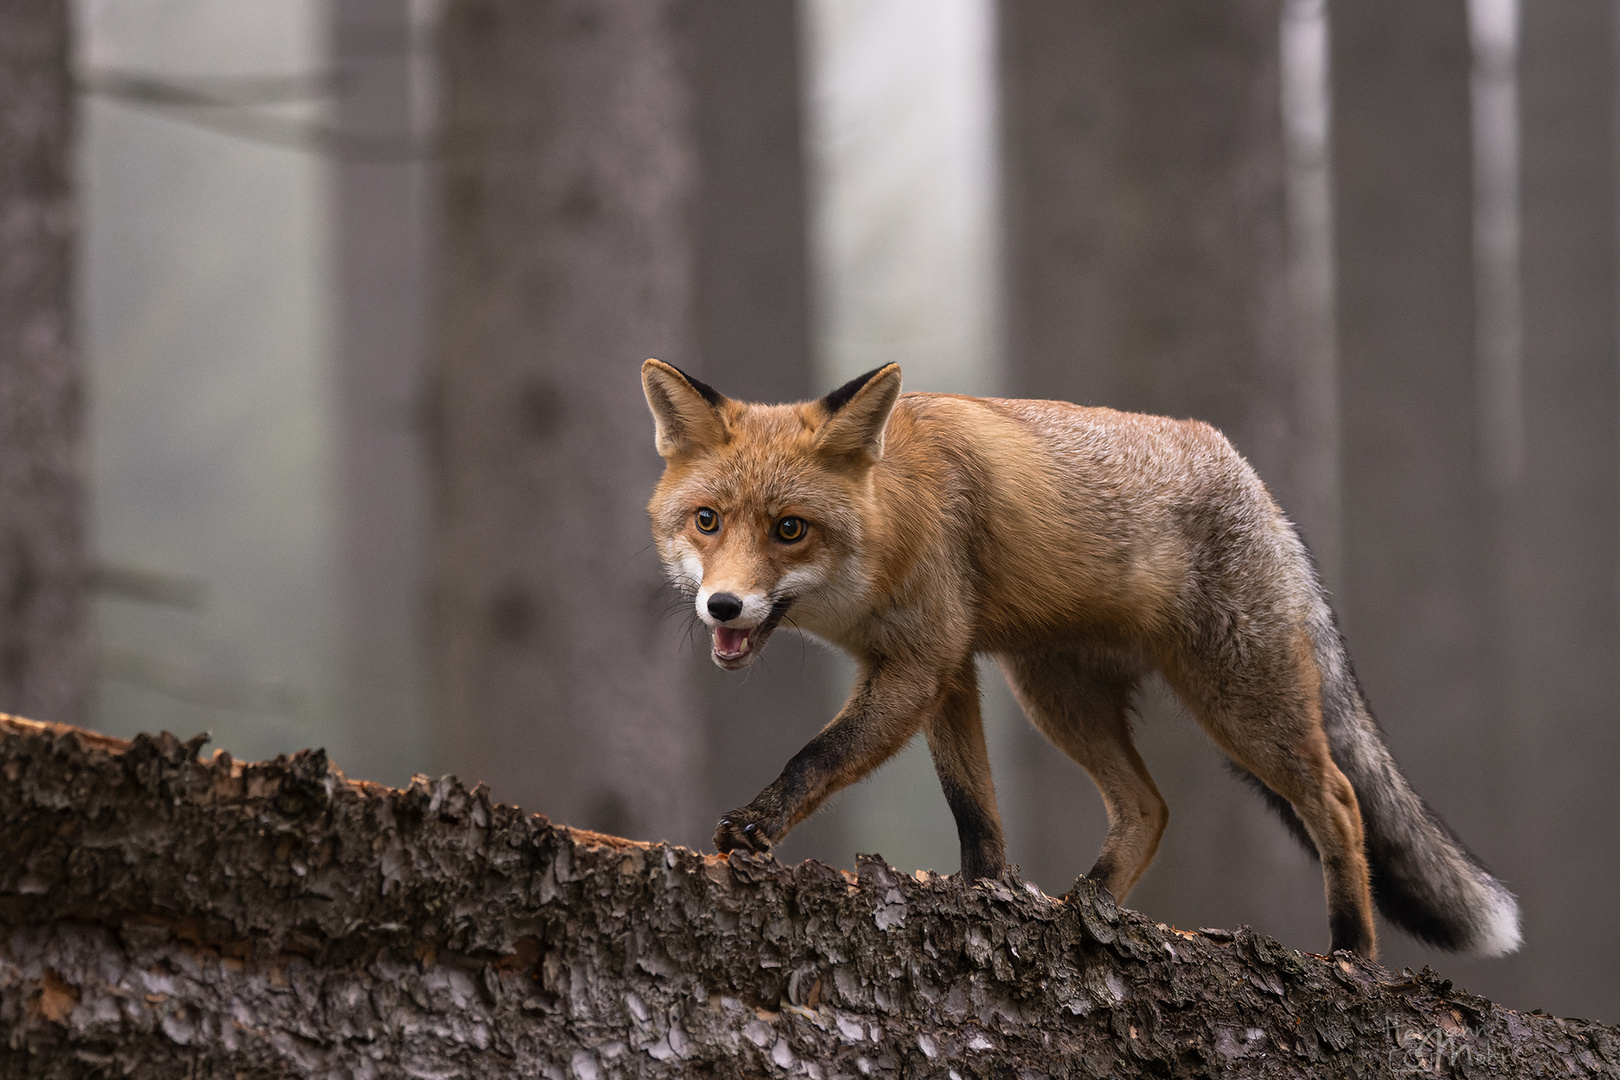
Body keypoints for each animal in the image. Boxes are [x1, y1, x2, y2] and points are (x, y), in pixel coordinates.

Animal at [640, 357, 1522, 960]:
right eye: (707, 520)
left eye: (790, 529)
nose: (723, 607)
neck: (891, 524)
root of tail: (1260, 489)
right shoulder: (948, 669)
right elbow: (974, 805)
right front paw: (986, 890)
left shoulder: (919, 661)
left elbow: (821, 754)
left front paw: (760, 822)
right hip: (1057, 695)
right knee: (1149, 808)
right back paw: (1085, 907)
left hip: (1240, 702)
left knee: (1338, 801)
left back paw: (1351, 955)